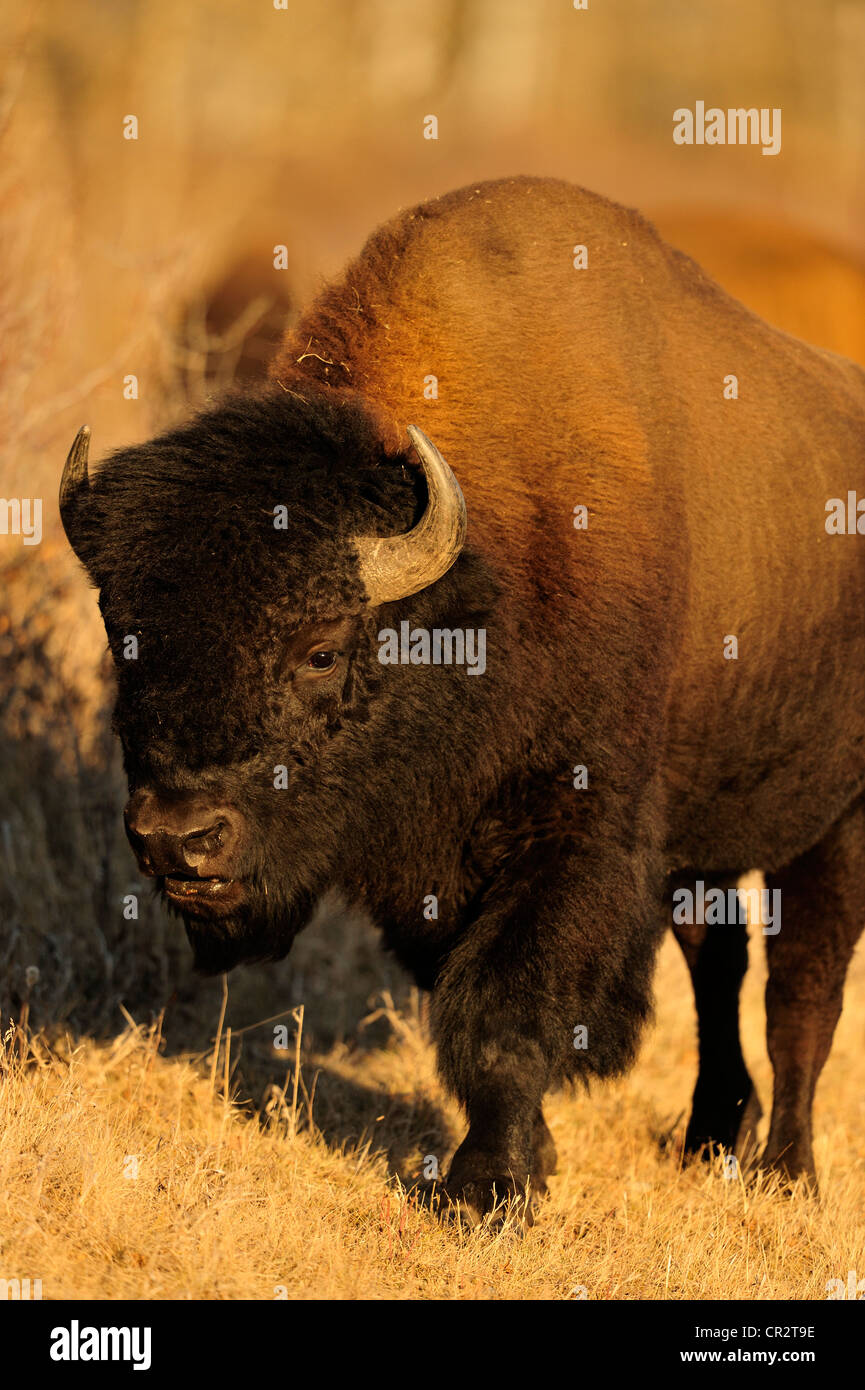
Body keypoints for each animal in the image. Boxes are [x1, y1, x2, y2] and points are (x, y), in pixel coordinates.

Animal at [60, 176, 865, 1222]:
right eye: (122, 635)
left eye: (321, 650)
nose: (177, 841)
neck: (489, 567)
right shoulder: (433, 868)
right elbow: (462, 989)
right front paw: (531, 1159)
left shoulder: (575, 831)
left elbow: (500, 1010)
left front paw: (488, 1189)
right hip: (712, 836)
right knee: (718, 963)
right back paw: (708, 1138)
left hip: (836, 820)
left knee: (802, 986)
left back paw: (786, 1171)